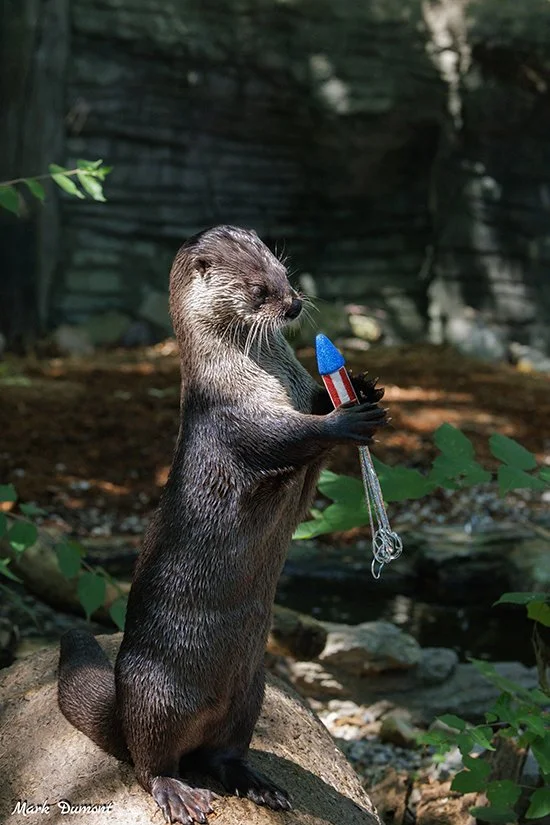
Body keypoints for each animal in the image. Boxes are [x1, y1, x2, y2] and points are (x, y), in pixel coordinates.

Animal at [58, 225, 387, 824]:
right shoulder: (234, 417)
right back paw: (178, 793)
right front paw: (344, 416)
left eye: (285, 274)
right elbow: (290, 436)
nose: (294, 304)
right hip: (154, 693)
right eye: (260, 289)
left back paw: (258, 784)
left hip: (249, 693)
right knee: (148, 762)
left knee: (223, 753)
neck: (257, 375)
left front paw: (362, 386)